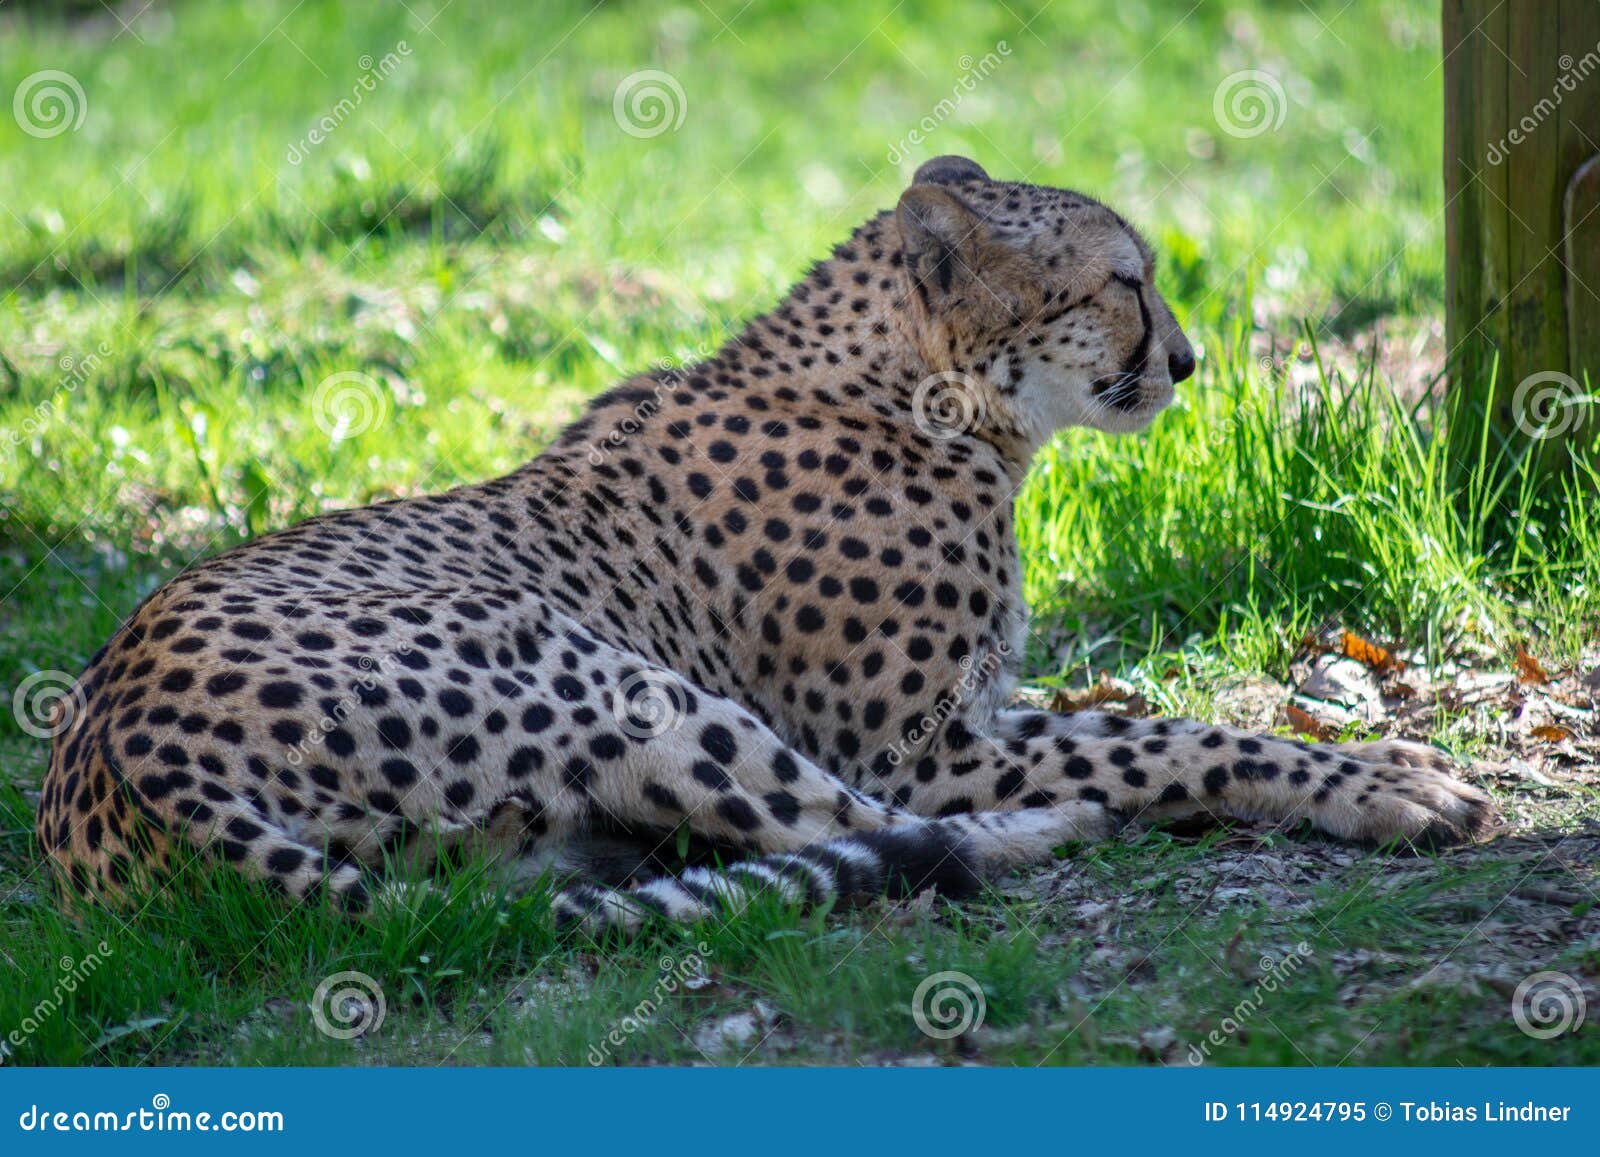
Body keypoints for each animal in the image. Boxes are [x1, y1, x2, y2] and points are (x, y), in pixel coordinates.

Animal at [37, 155, 1493, 935]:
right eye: (1125, 282)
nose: (1187, 362)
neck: (918, 394)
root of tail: (113, 742)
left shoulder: (978, 713)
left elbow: (1134, 712)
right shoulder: (924, 750)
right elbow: (1170, 740)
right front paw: (1388, 782)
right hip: (618, 681)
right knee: (869, 834)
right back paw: (1056, 831)